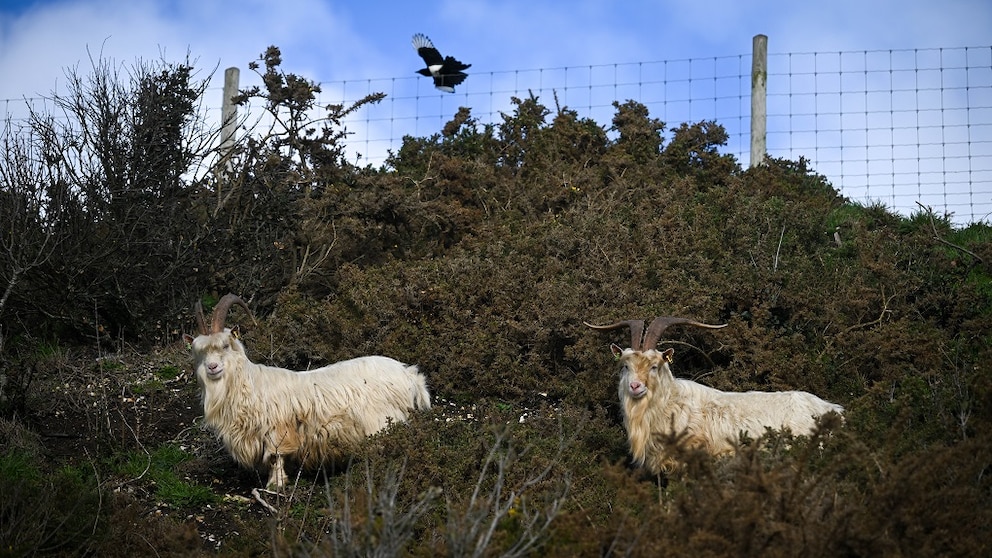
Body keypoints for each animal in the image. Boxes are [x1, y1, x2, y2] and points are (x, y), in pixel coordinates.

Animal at [183, 294, 431, 489]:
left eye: (225, 345)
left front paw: (276, 485)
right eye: (199, 351)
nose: (212, 367)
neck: (251, 385)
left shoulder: (278, 432)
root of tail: (409, 374)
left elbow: (276, 456)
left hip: (383, 422)